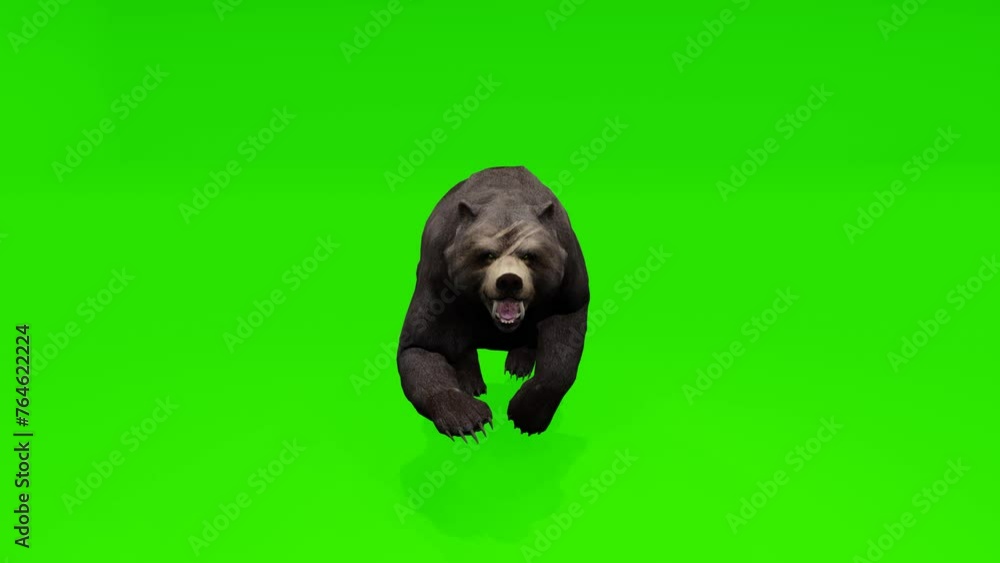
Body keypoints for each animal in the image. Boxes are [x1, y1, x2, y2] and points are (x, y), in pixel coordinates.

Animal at [397, 166, 589, 439]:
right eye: (487, 255)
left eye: (529, 255)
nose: (509, 280)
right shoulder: (439, 284)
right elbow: (421, 347)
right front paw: (469, 419)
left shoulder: (567, 285)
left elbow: (563, 346)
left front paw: (525, 415)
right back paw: (473, 383)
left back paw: (517, 366)